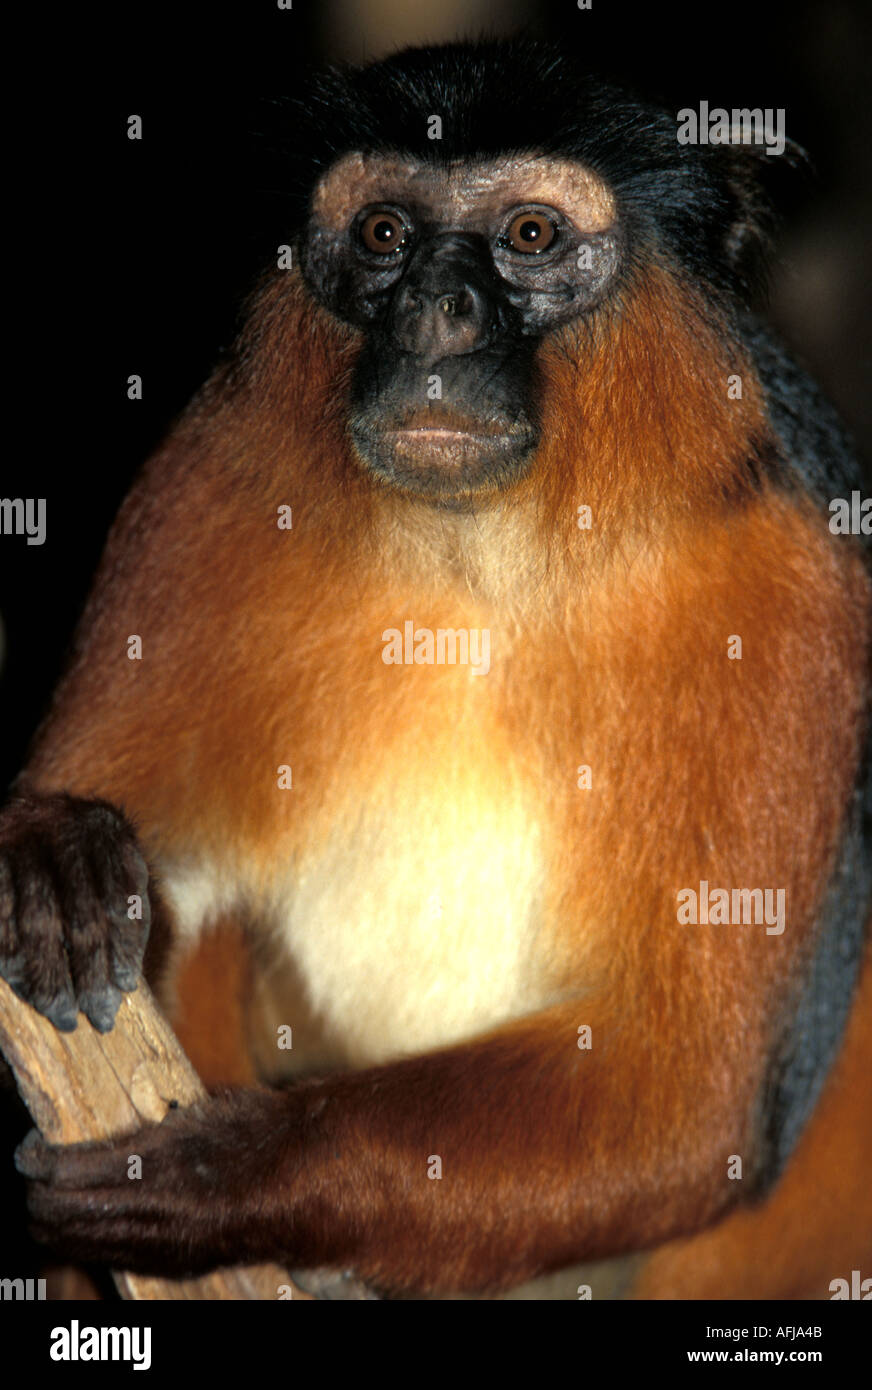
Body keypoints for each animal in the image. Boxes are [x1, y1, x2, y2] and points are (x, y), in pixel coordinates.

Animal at [1, 37, 870, 1301]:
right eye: (383, 236)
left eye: (529, 236)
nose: (433, 317)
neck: (484, 556)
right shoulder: (216, 470)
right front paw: (55, 855)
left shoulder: (794, 565)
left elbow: (685, 1106)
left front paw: (220, 1178)